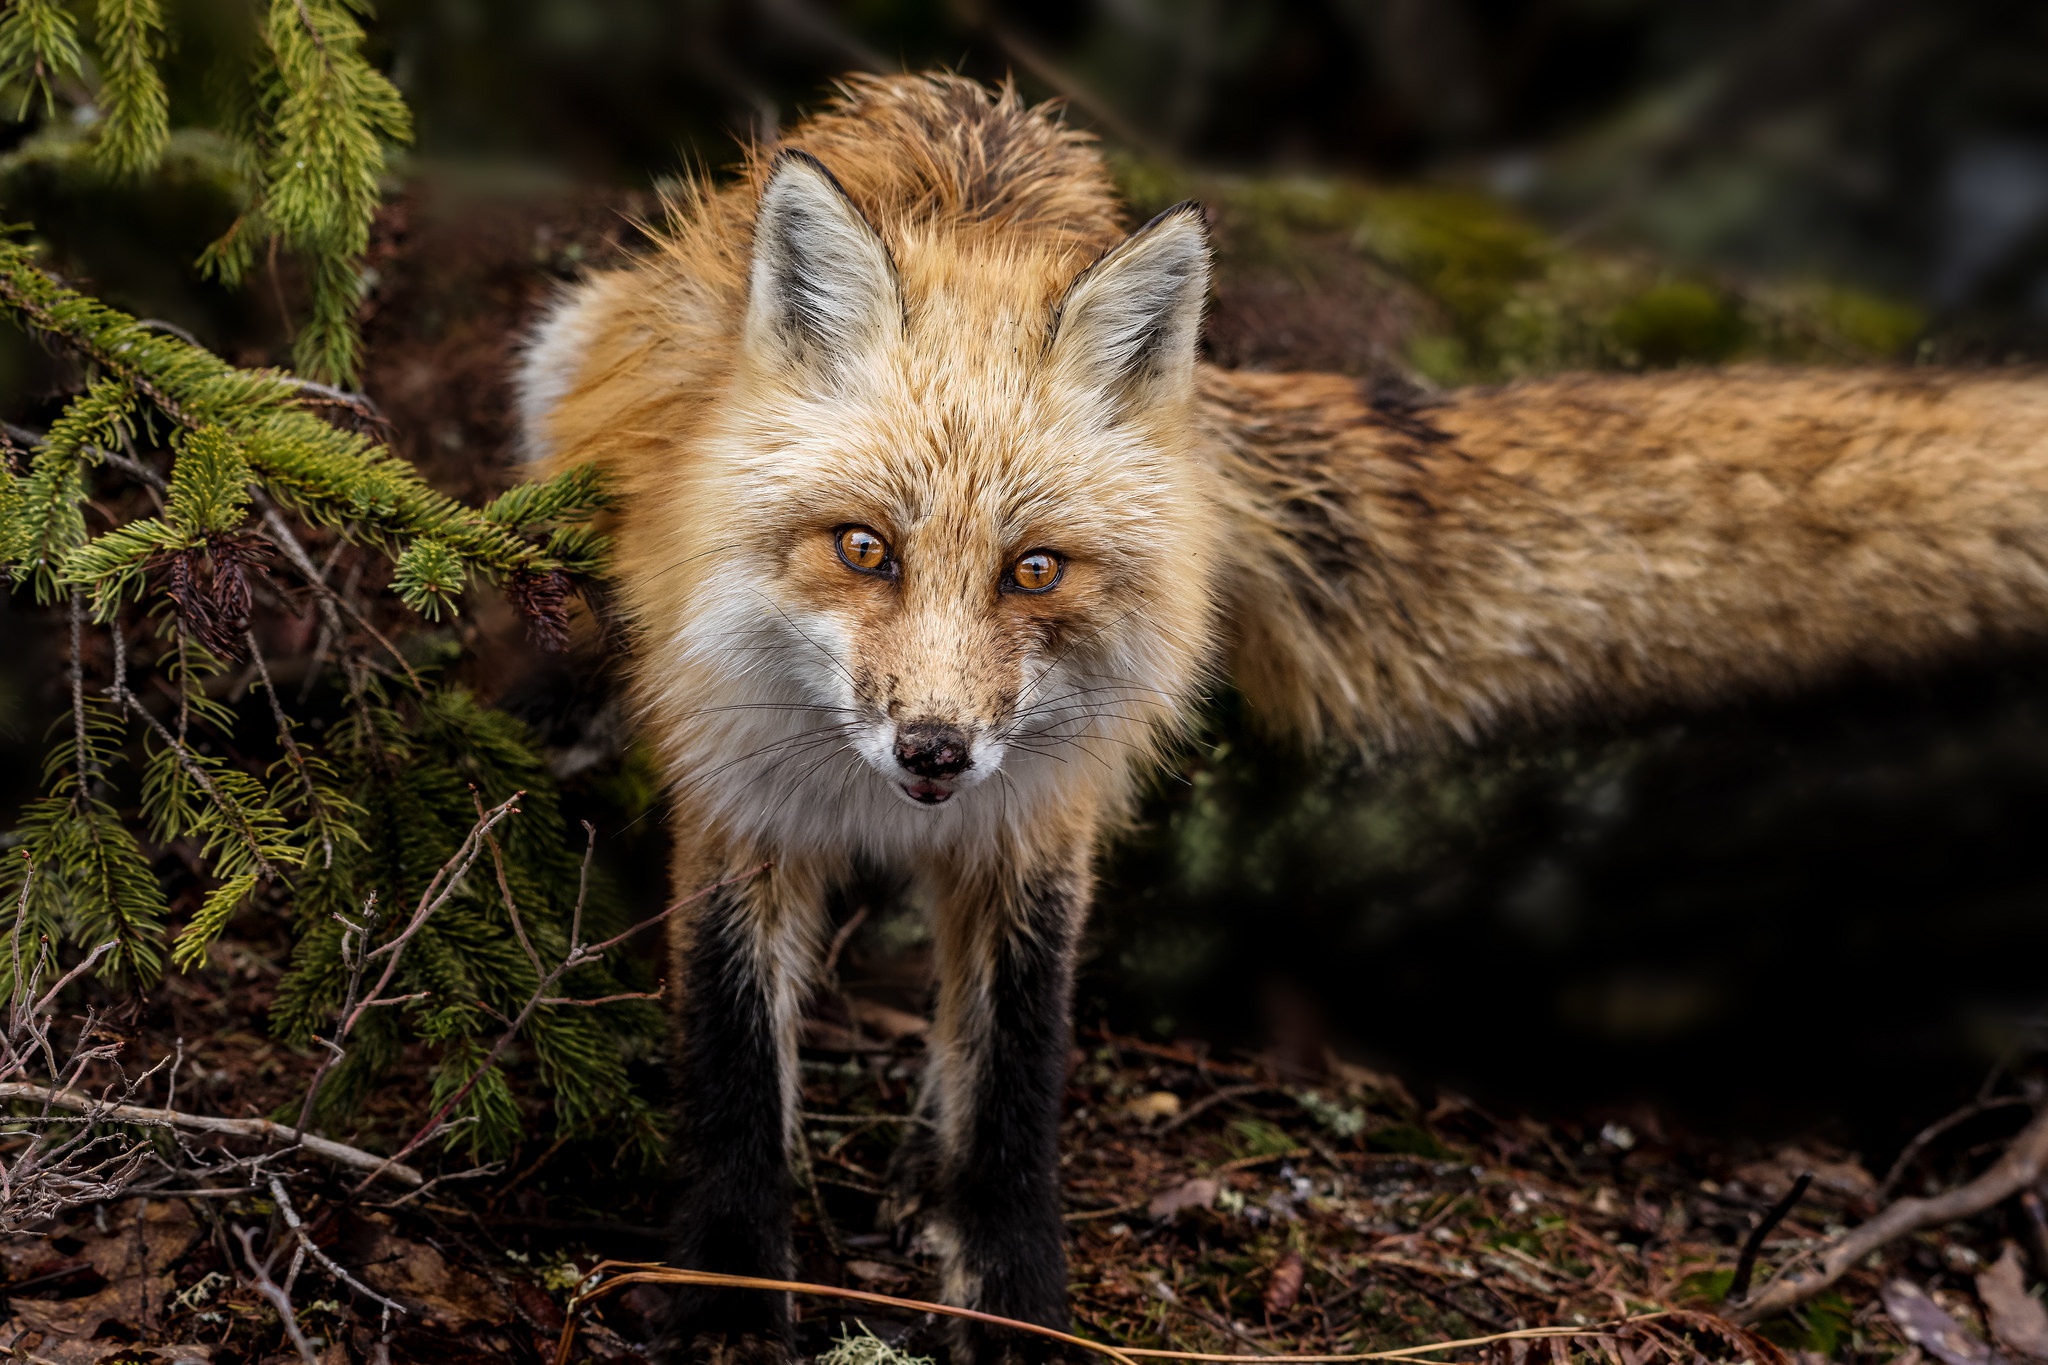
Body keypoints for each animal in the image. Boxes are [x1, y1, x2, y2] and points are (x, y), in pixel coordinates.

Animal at [515, 72, 2048, 1364]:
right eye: (864, 549)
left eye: (1035, 570)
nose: (934, 751)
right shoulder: (739, 802)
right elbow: (731, 1063)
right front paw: (726, 1297)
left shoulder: (1041, 831)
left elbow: (1015, 1074)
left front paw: (1009, 1299)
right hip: (554, 367)